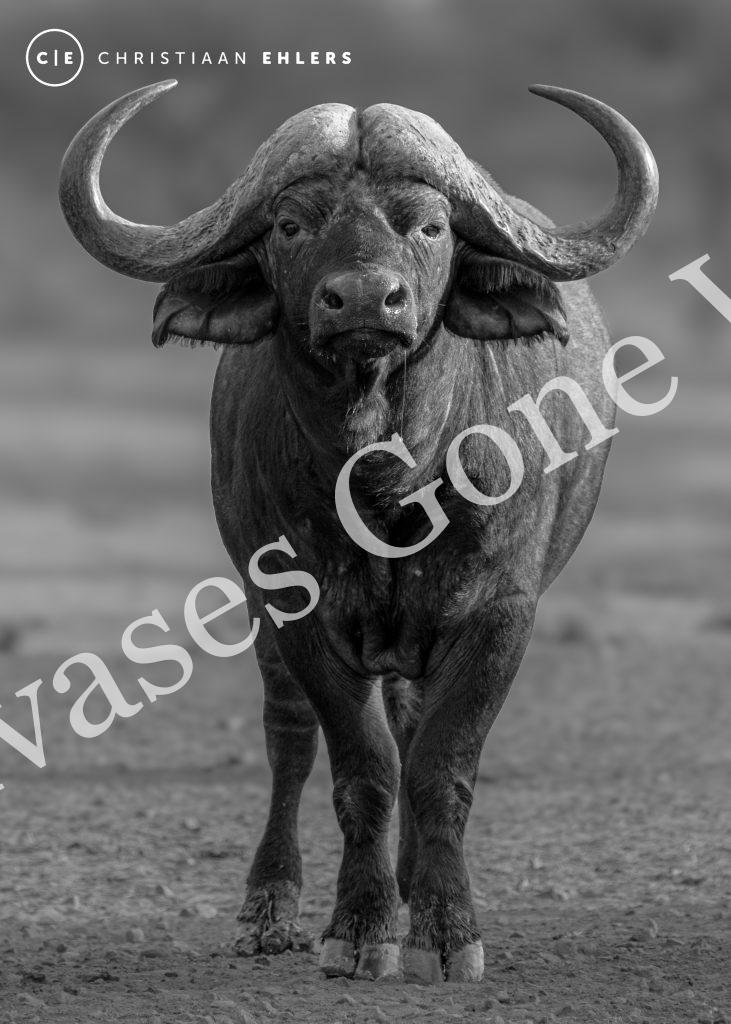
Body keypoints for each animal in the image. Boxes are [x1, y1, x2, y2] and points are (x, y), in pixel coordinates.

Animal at [59, 81, 658, 983]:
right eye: (289, 225)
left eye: (430, 225)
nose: (366, 301)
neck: (384, 487)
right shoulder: (299, 615)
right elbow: (361, 769)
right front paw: (360, 927)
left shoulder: (500, 615)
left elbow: (440, 765)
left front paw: (443, 931)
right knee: (289, 738)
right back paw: (268, 911)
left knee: (410, 725)